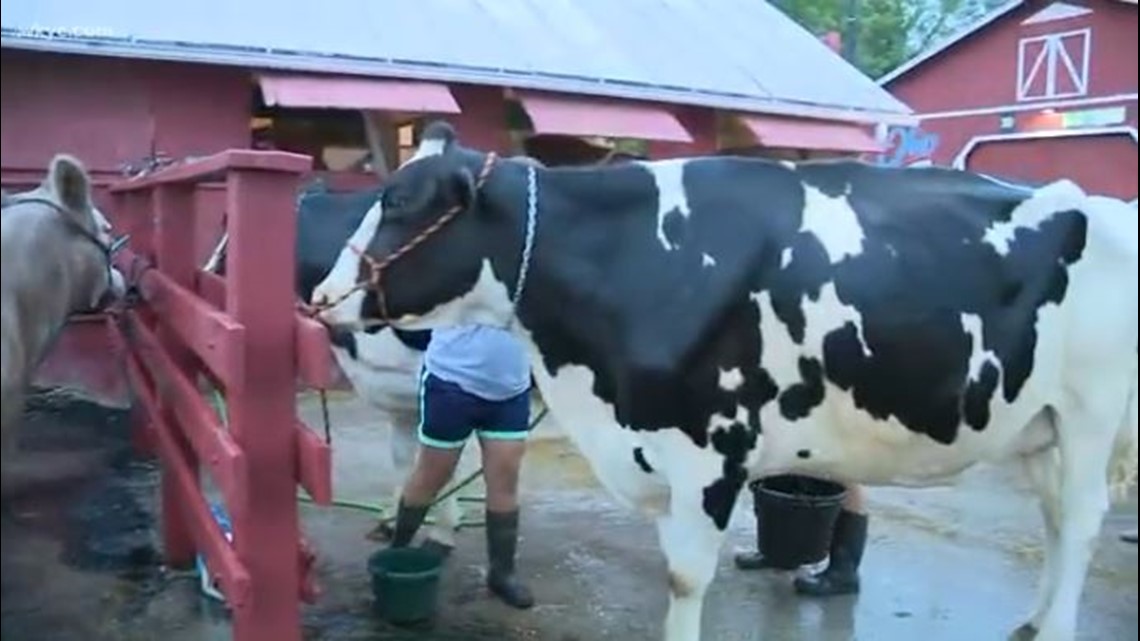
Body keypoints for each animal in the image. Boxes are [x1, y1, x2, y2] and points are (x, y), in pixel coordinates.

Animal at [309, 120, 1138, 641]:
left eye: (401, 202)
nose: (319, 293)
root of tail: (1105, 202)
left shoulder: (713, 447)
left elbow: (683, 579)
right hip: (1038, 421)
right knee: (1055, 518)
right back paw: (1033, 617)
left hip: (1092, 410)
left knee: (1083, 517)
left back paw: (1055, 628)